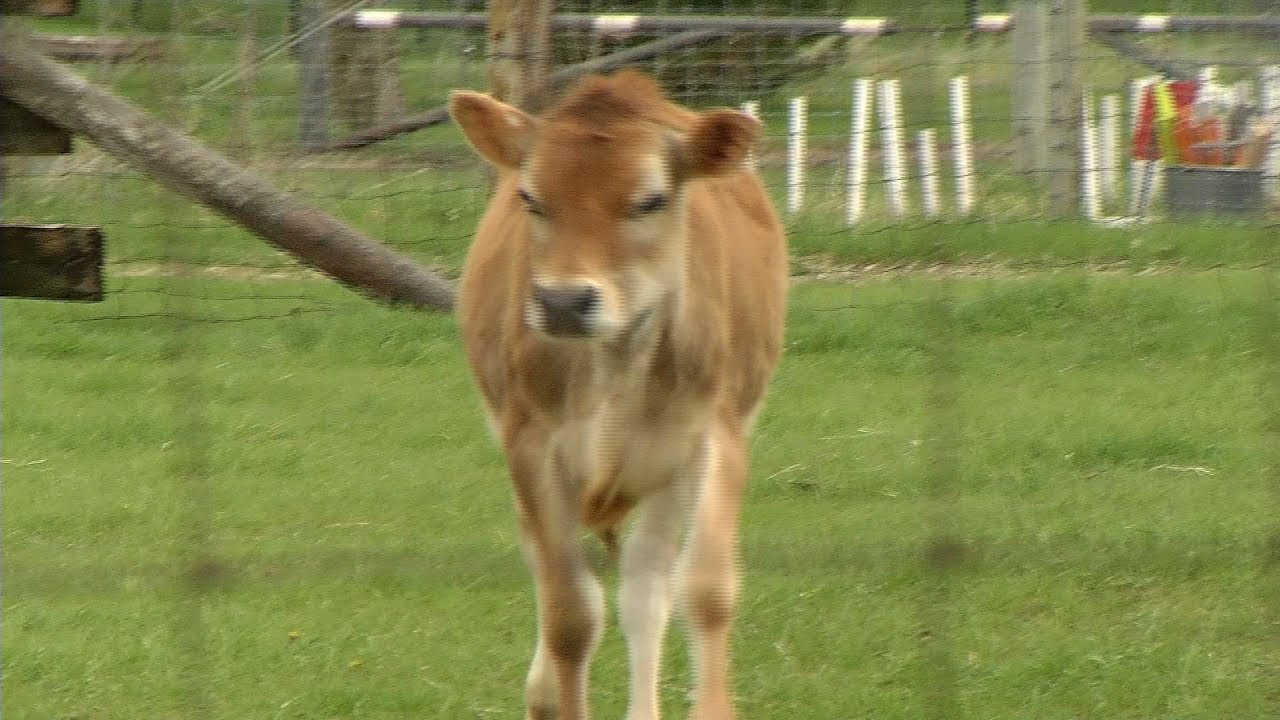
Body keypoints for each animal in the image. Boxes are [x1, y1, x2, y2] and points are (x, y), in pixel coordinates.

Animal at [447, 69, 788, 720]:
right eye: (531, 198)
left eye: (651, 199)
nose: (563, 301)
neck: (617, 367)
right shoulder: (531, 445)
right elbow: (569, 613)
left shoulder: (714, 437)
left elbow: (705, 590)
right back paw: (543, 692)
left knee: (645, 584)